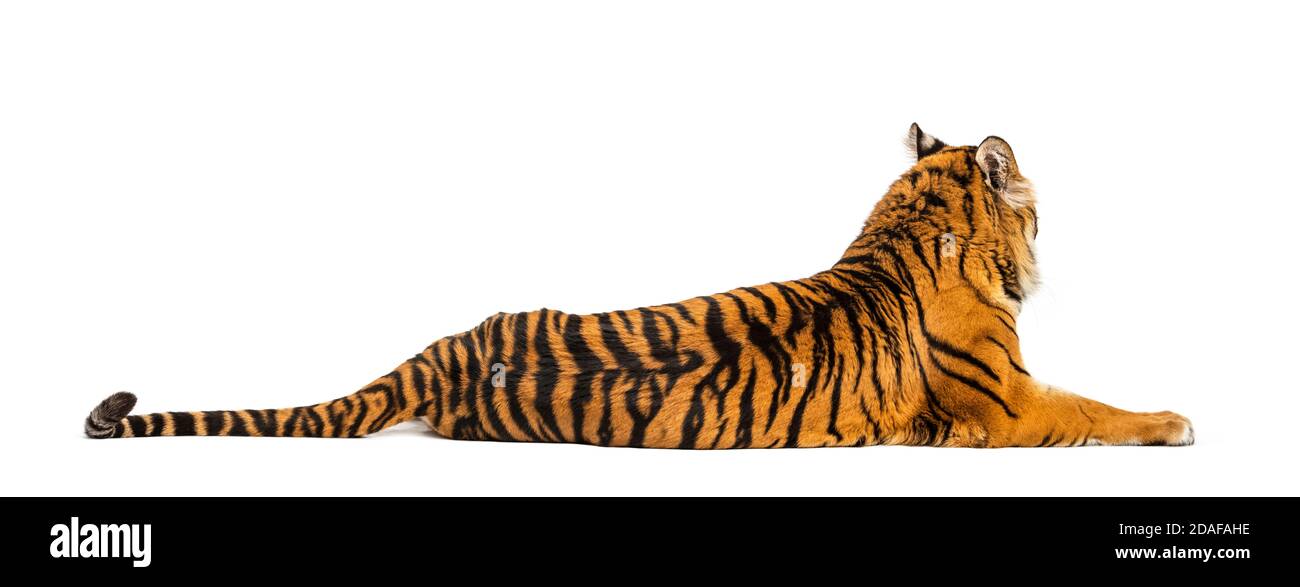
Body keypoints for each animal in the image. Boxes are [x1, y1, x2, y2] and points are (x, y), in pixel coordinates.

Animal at [85, 124, 1193, 448]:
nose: (1051, 225)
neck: (914, 224)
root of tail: (449, 350)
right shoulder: (1008, 404)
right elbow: (1095, 406)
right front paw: (1174, 420)